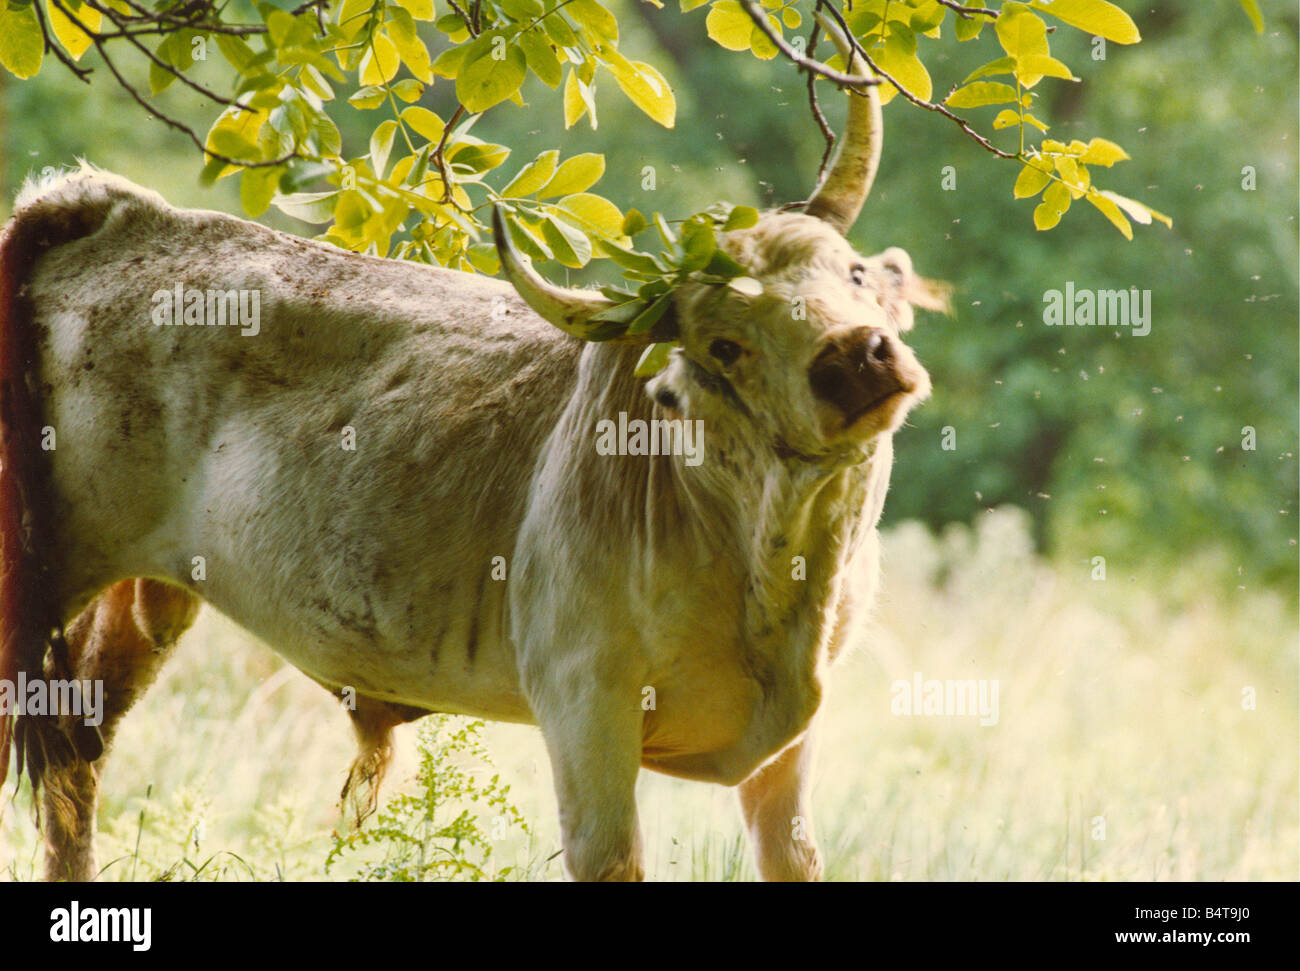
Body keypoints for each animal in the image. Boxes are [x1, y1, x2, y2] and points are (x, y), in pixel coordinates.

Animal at [0, 32, 947, 882]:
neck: (770, 563)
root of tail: (124, 211)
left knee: (75, 753)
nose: (858, 357)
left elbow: (795, 857)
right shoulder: (585, 710)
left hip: (145, 596)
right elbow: (611, 858)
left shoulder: (790, 746)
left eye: (854, 273)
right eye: (724, 343)